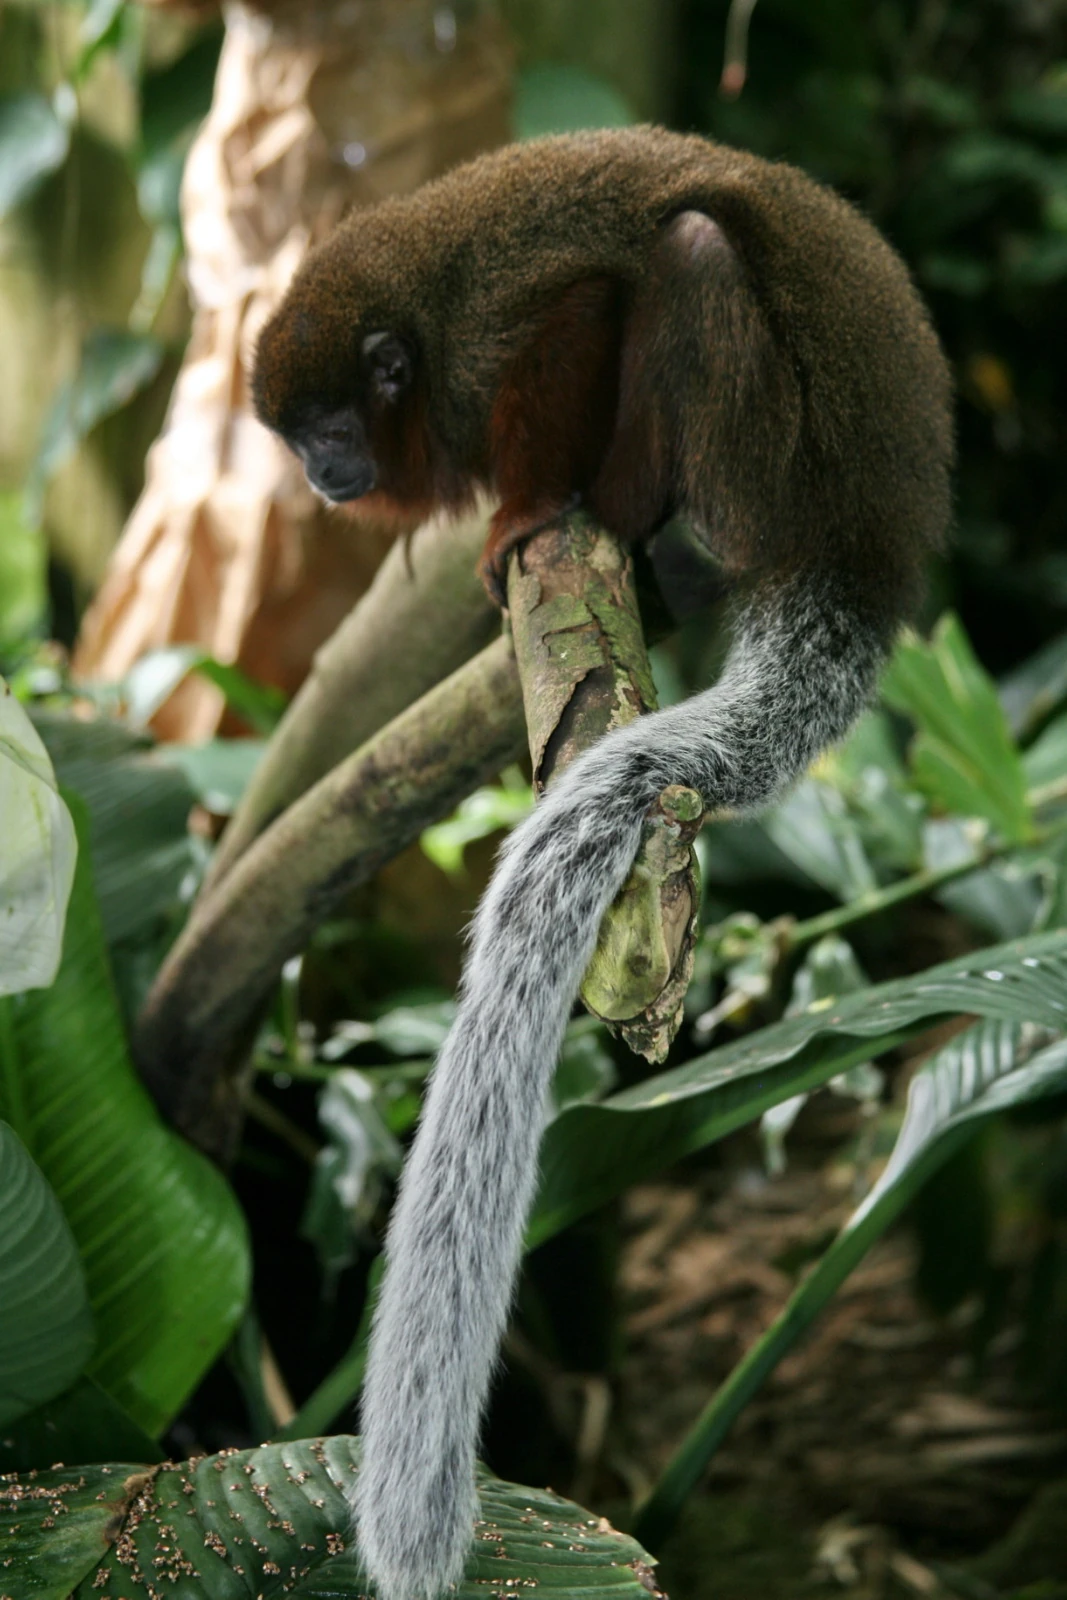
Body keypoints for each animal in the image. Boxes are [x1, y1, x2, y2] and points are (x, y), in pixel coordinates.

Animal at [252, 126, 953, 1600]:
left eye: (332, 429)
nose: (322, 477)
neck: (417, 345)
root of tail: (869, 545)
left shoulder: (489, 336)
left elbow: (580, 314)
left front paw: (531, 508)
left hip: (768, 468)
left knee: (691, 252)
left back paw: (627, 510)